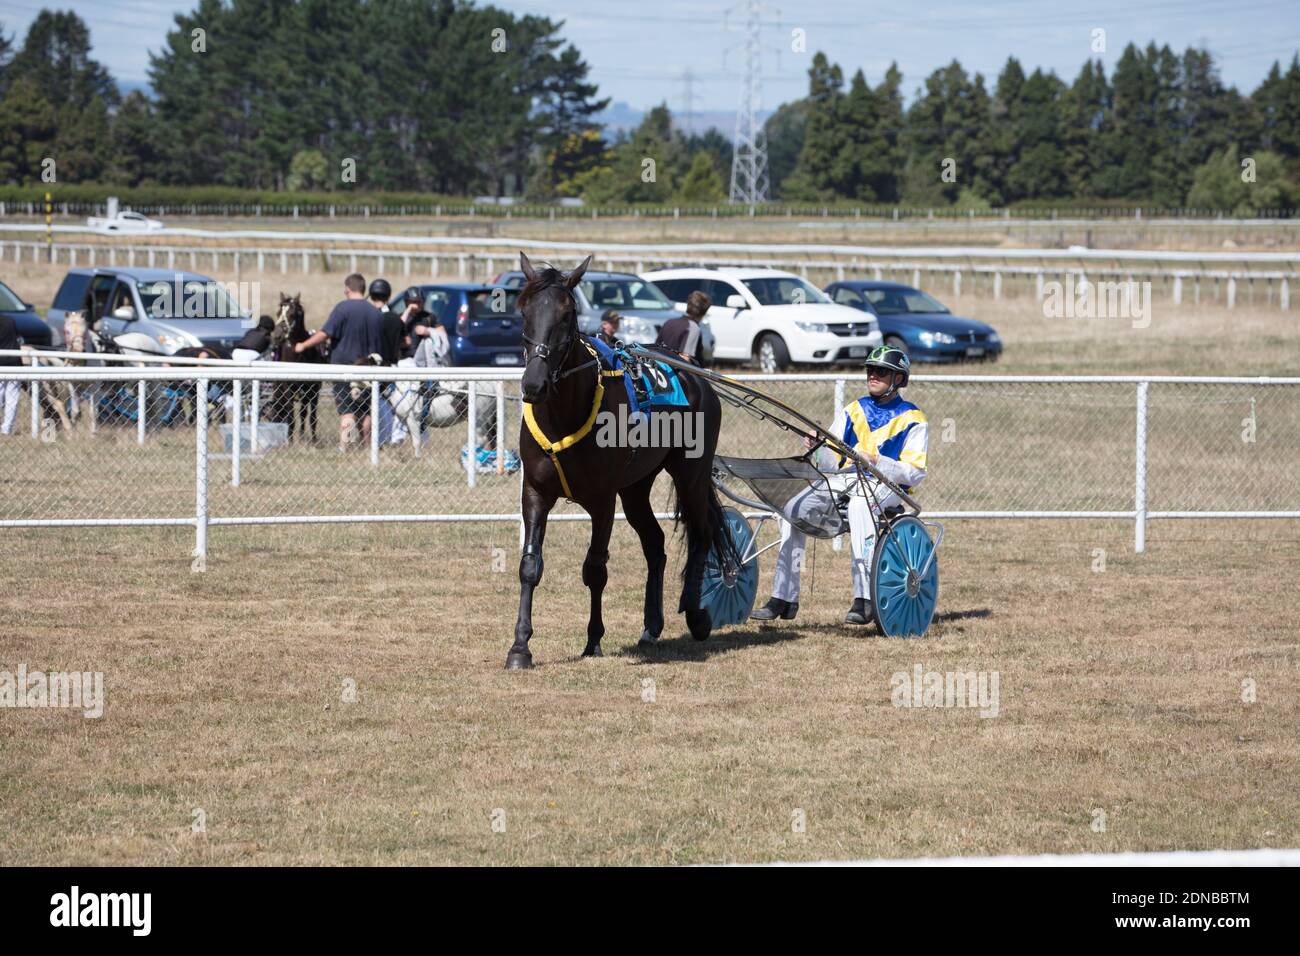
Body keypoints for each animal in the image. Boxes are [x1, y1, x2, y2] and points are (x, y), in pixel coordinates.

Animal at [270, 293, 323, 442]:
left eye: (292, 314)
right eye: (278, 313)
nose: (277, 336)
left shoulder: (312, 390)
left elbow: (310, 417)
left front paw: (313, 440)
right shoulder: (288, 388)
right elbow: (290, 416)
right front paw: (290, 441)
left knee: (305, 413)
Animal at [506, 252, 733, 670]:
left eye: (567, 314)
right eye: (524, 310)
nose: (534, 384)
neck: (565, 414)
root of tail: (693, 373)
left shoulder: (602, 500)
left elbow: (595, 568)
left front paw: (593, 639)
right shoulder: (535, 492)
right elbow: (530, 566)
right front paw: (520, 648)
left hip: (690, 473)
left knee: (702, 534)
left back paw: (696, 615)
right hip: (635, 487)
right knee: (655, 544)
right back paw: (651, 626)